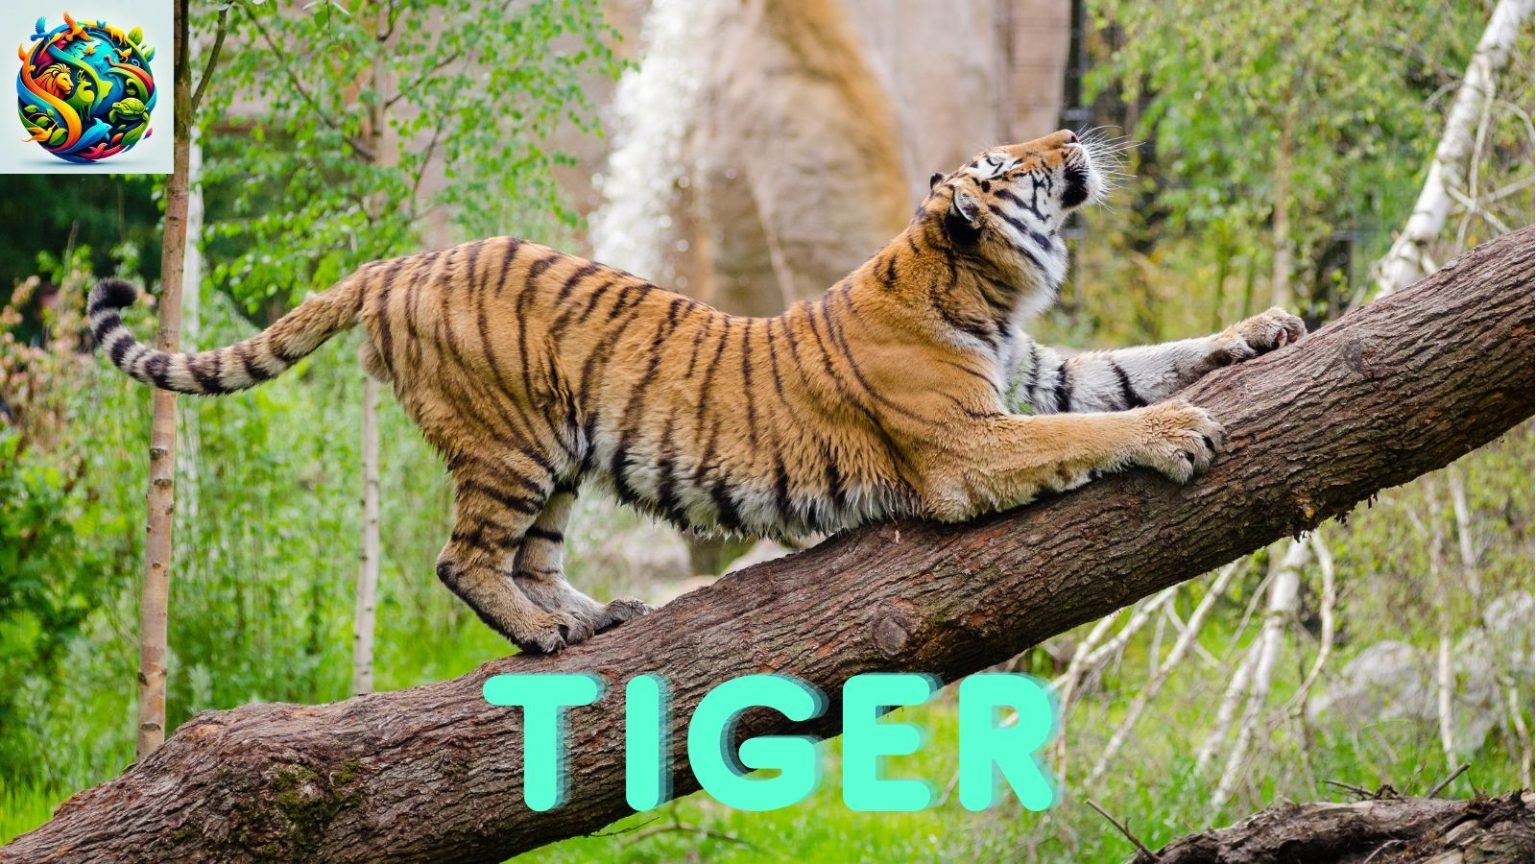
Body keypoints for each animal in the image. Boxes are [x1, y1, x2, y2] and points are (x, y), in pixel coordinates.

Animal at [88, 129, 1305, 654]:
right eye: (1015, 167)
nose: (1073, 137)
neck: (986, 289)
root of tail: (400, 262)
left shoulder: (1035, 375)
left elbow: (1136, 362)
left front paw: (1264, 328)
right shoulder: (968, 446)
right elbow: (1109, 419)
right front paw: (1181, 433)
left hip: (562, 460)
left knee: (534, 557)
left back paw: (589, 616)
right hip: (513, 445)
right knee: (462, 558)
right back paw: (542, 636)